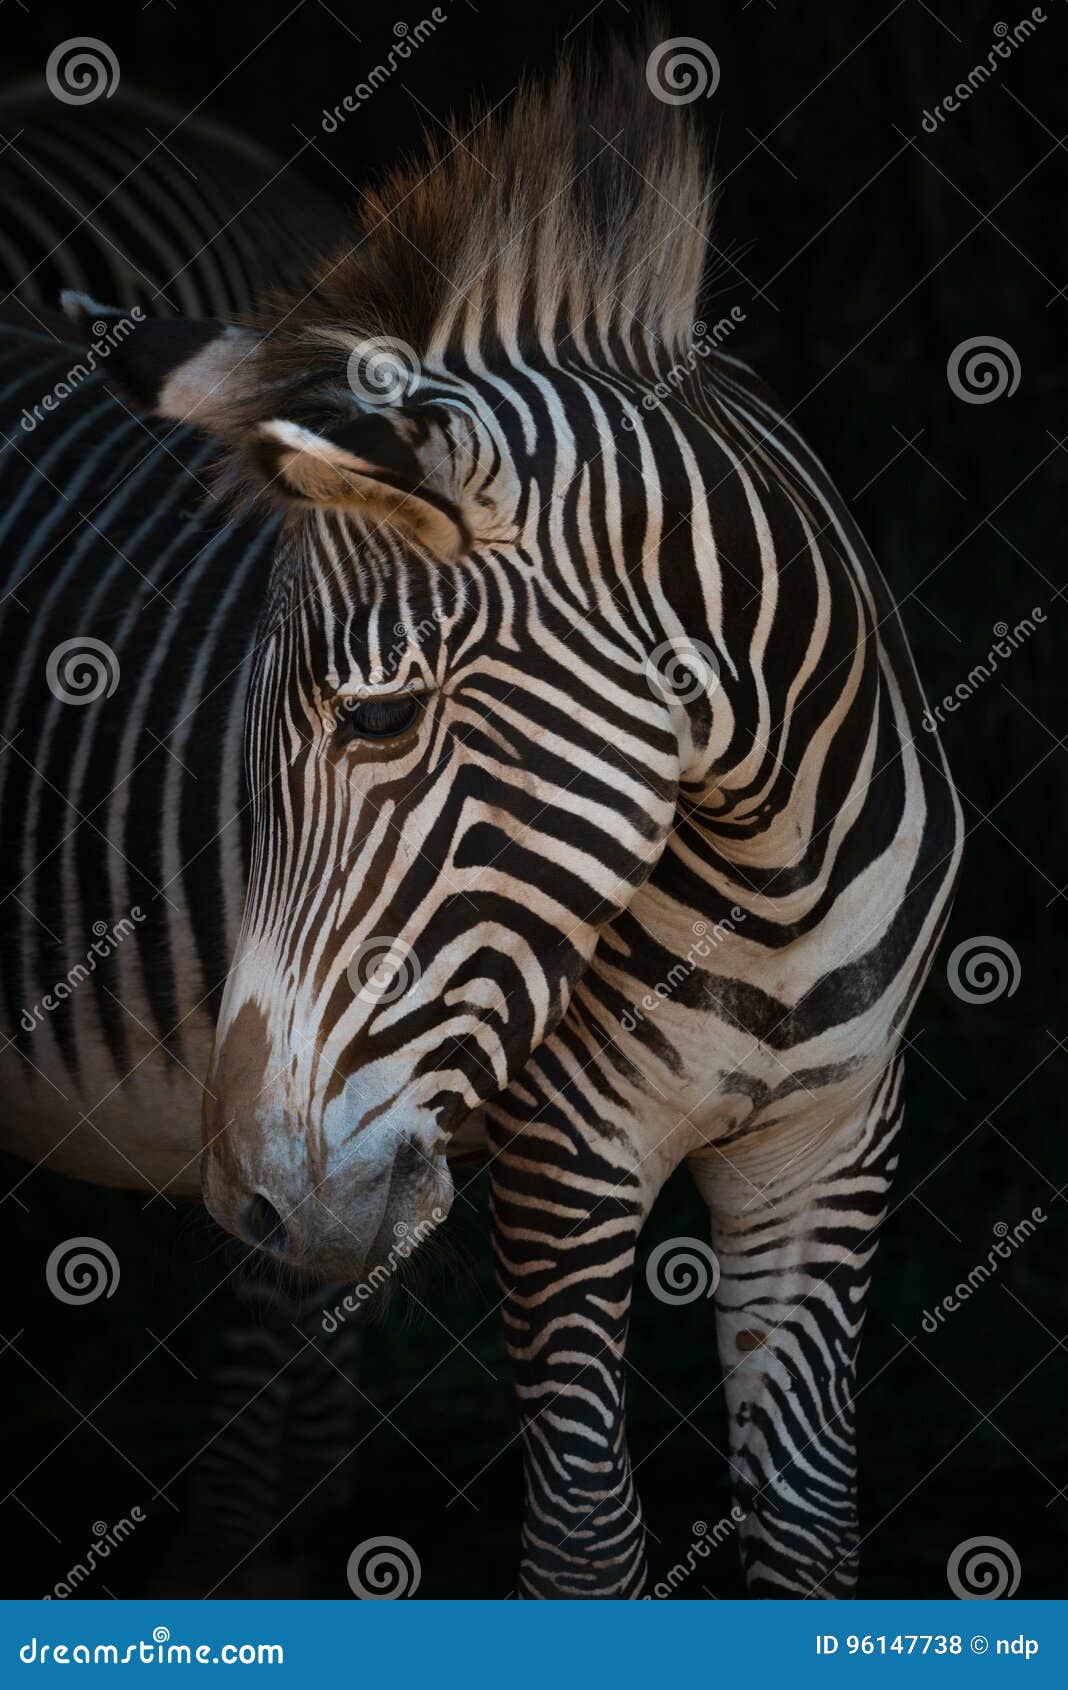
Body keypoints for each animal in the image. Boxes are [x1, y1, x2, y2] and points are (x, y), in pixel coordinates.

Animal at [2, 39, 963, 1598]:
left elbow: (812, 1537)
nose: (248, 1194)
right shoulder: (558, 1162)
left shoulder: (830, 1150)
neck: (775, 879)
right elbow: (585, 1548)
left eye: (379, 720)